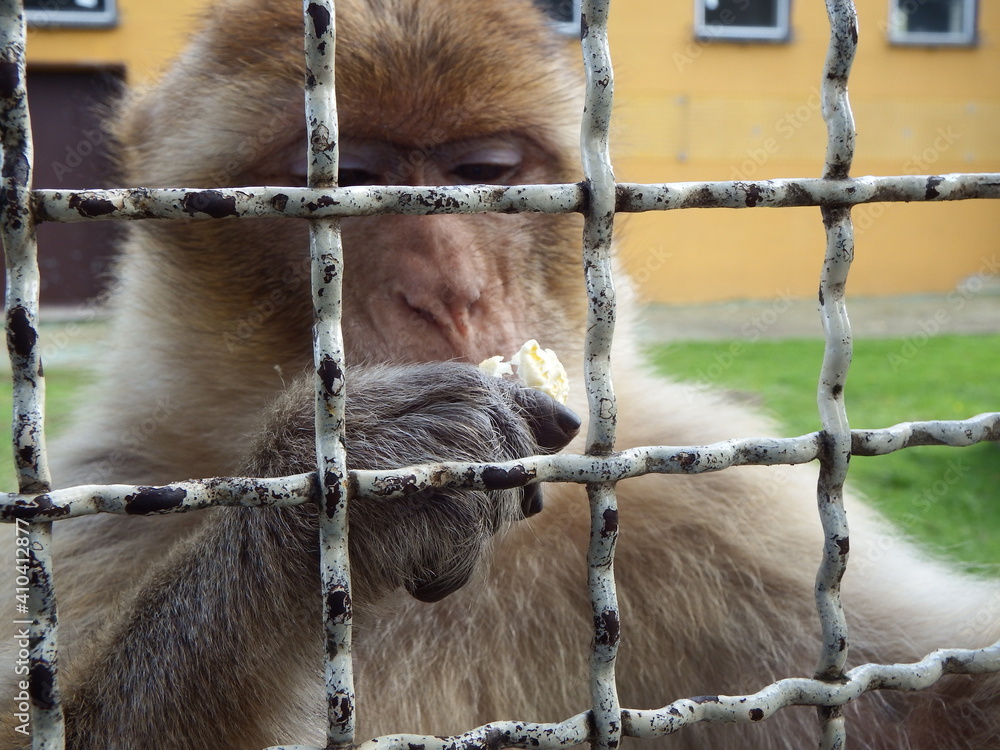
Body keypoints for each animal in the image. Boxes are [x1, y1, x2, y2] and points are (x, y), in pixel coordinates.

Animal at [2, 0, 999, 747]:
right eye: (353, 175)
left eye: (483, 171)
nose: (452, 291)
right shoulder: (116, 487)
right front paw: (355, 484)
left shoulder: (713, 501)